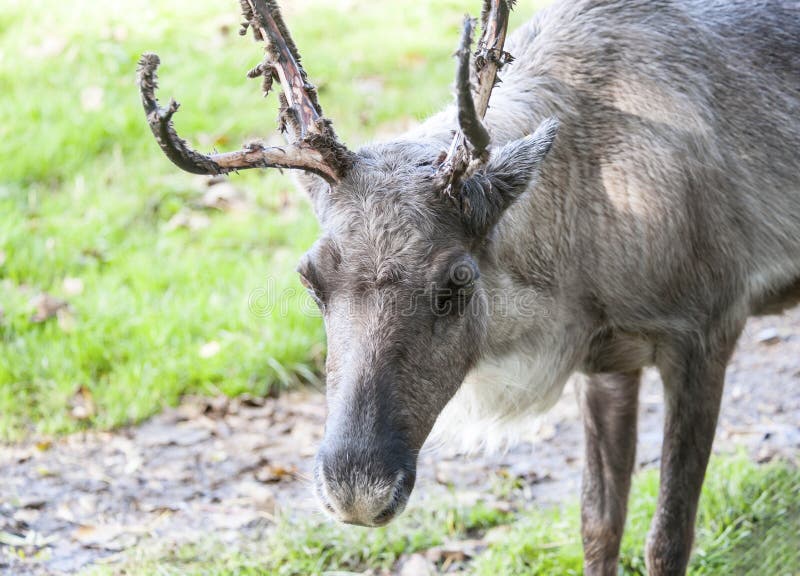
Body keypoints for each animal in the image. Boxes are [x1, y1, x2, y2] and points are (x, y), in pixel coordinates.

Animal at [137, 0, 800, 573]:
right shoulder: (608, 361)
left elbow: (668, 537)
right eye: (310, 279)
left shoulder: (707, 333)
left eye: (456, 282)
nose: (357, 491)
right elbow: (598, 524)